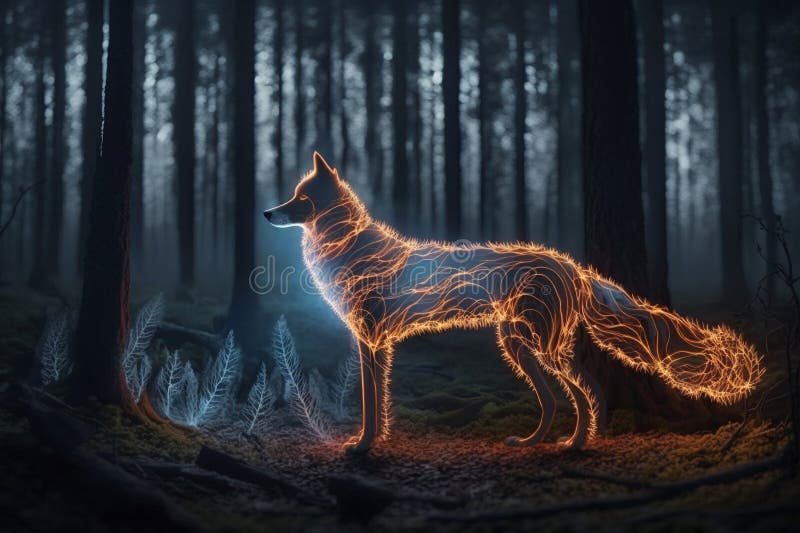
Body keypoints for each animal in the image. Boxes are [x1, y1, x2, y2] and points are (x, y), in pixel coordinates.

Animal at [264, 152, 764, 454]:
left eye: (300, 198)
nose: (268, 213)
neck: (348, 247)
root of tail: (574, 268)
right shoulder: (377, 344)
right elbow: (378, 402)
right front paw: (373, 441)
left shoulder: (371, 342)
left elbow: (370, 404)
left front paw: (364, 446)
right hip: (517, 345)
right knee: (556, 400)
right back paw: (535, 442)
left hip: (539, 347)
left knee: (589, 391)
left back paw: (578, 445)